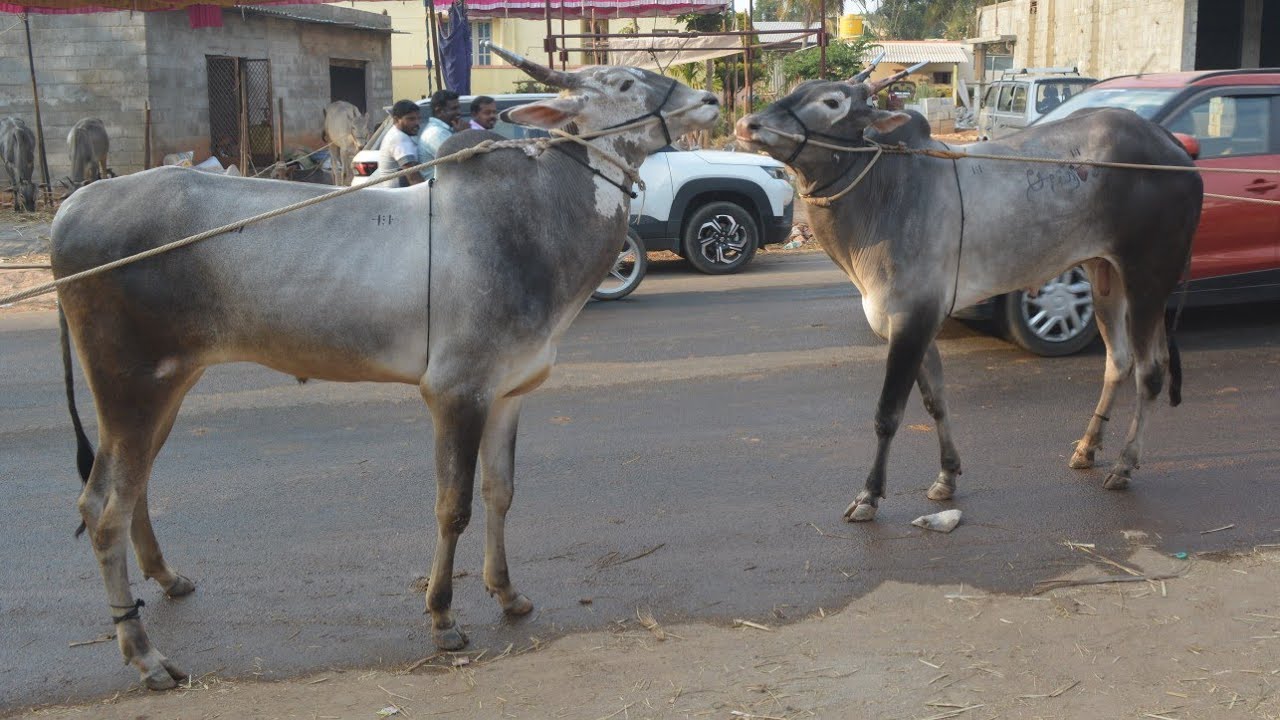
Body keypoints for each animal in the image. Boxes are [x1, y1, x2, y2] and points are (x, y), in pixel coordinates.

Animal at [51, 48, 719, 690]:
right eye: (625, 84)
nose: (709, 99)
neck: (535, 222)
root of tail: (73, 206)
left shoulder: (509, 392)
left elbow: (500, 493)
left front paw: (507, 593)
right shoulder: (456, 391)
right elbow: (454, 506)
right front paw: (443, 617)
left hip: (169, 385)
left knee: (134, 489)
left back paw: (167, 580)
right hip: (130, 386)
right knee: (101, 510)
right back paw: (144, 655)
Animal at [735, 75, 1201, 522]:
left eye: (832, 102)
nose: (746, 125)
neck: (885, 187)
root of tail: (1176, 149)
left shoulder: (912, 317)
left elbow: (888, 414)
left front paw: (869, 495)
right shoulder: (915, 321)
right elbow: (935, 401)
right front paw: (947, 475)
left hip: (1148, 279)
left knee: (1150, 372)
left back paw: (1124, 465)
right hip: (1104, 273)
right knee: (1118, 361)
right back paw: (1087, 447)